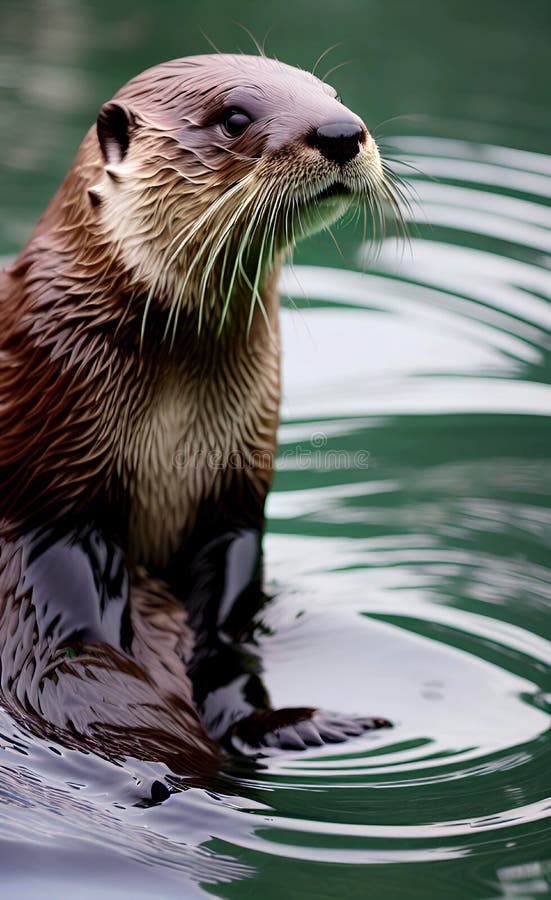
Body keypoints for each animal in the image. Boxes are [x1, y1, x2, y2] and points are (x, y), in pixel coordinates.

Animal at [0, 54, 396, 781]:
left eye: (328, 92)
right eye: (233, 117)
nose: (341, 131)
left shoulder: (236, 487)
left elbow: (226, 610)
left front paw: (263, 719)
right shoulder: (54, 470)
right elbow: (69, 610)